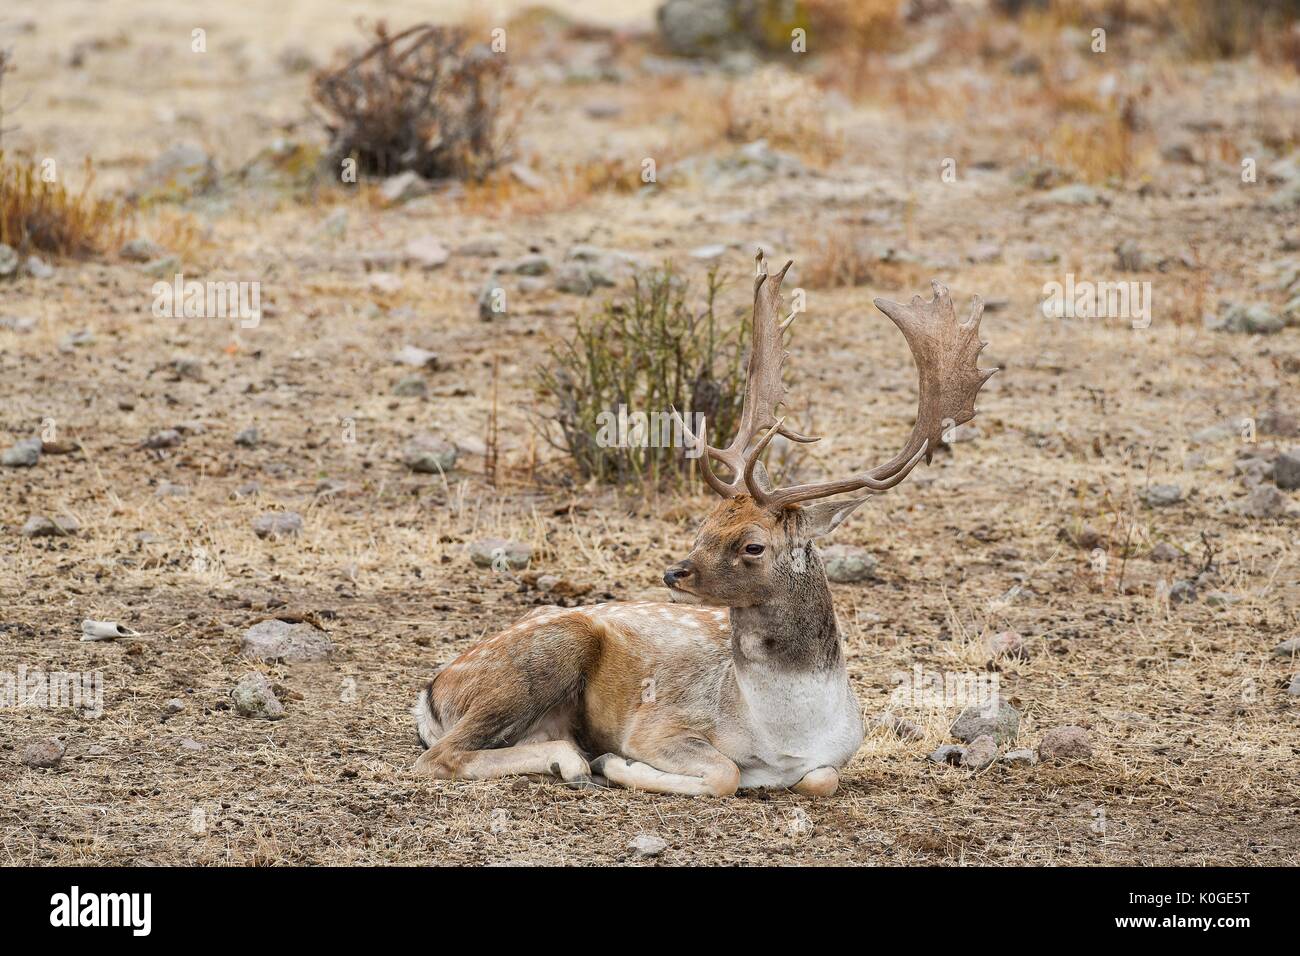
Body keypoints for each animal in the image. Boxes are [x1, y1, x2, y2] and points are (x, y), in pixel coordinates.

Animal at [413, 251, 994, 797]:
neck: (785, 735)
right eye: (704, 524)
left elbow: (819, 778)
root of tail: (433, 689)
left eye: (753, 545)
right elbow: (724, 772)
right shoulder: (658, 723)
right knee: (441, 756)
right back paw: (575, 761)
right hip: (542, 656)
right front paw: (617, 764)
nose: (675, 573)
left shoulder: (840, 752)